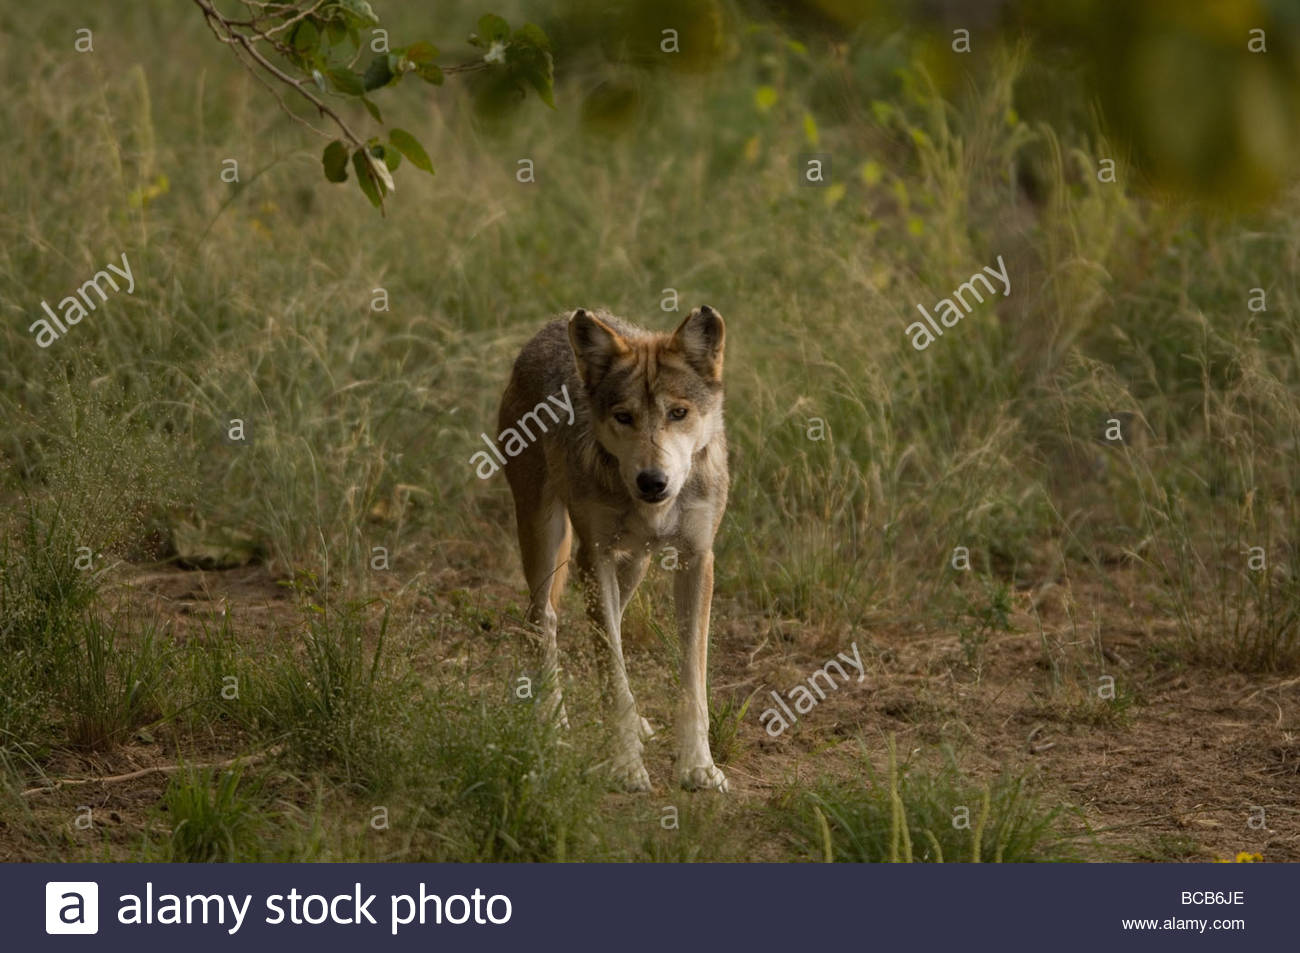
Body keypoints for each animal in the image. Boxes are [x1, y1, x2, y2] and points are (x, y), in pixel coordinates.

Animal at [498, 306, 730, 792]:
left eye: (678, 413)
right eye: (624, 417)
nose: (652, 481)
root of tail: (554, 322)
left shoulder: (698, 560)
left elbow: (692, 681)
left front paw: (698, 768)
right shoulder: (595, 556)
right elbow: (613, 673)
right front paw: (626, 767)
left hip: (634, 564)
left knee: (614, 626)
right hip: (545, 536)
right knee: (543, 619)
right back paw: (551, 720)